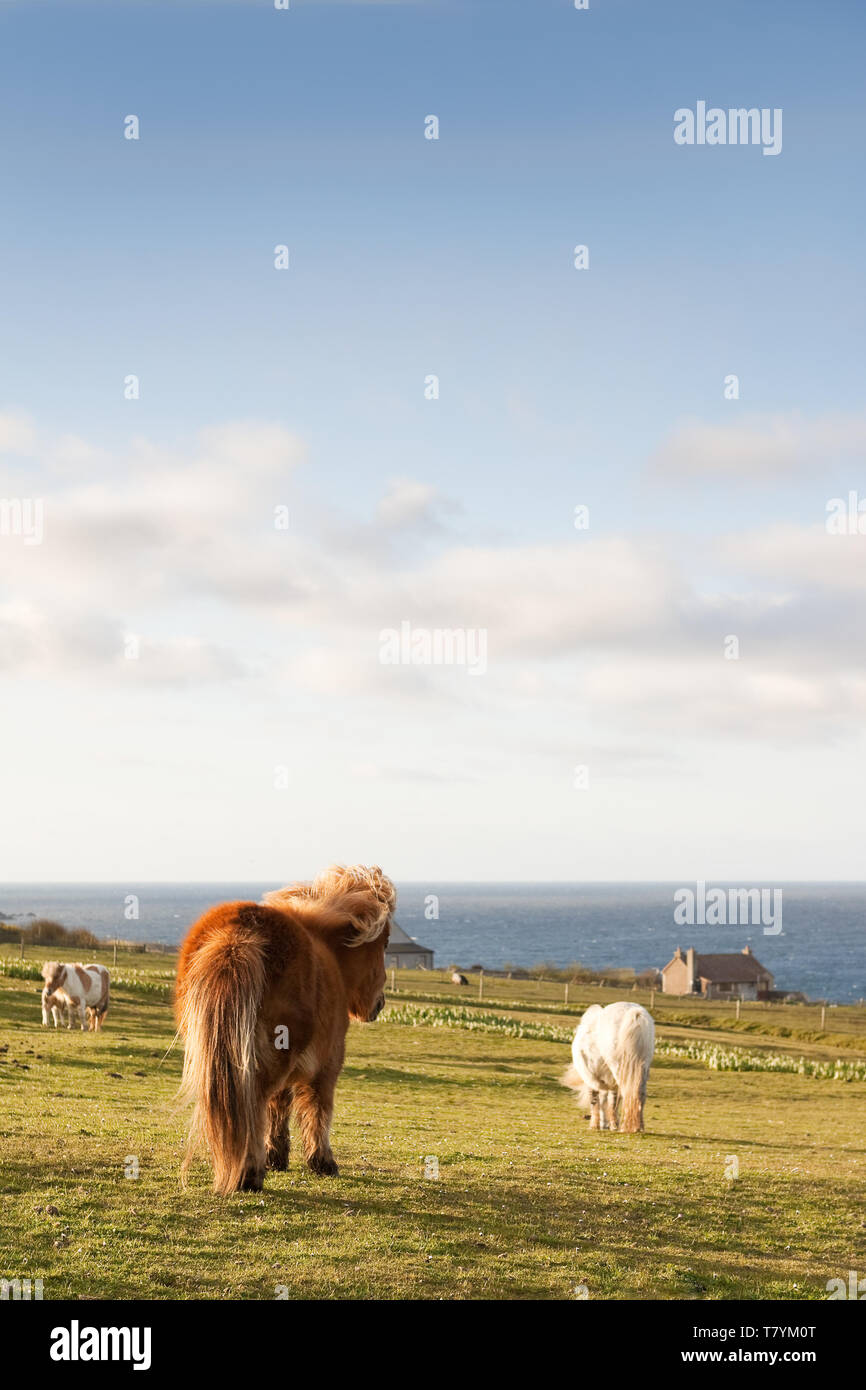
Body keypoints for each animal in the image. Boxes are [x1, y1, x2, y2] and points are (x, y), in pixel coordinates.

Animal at [175, 863, 394, 1195]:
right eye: (385, 944)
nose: (378, 1004)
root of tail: (237, 940)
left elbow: (279, 1107)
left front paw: (277, 1156)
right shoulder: (328, 1065)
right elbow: (318, 1109)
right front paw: (323, 1162)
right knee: (253, 1099)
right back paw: (249, 1175)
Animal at [561, 1001, 655, 1132]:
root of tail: (634, 1013)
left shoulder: (592, 1081)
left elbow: (595, 1100)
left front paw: (595, 1125)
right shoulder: (610, 1082)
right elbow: (610, 1101)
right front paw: (610, 1124)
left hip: (619, 1069)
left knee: (628, 1093)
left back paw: (628, 1127)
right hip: (643, 1067)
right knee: (640, 1094)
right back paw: (639, 1126)